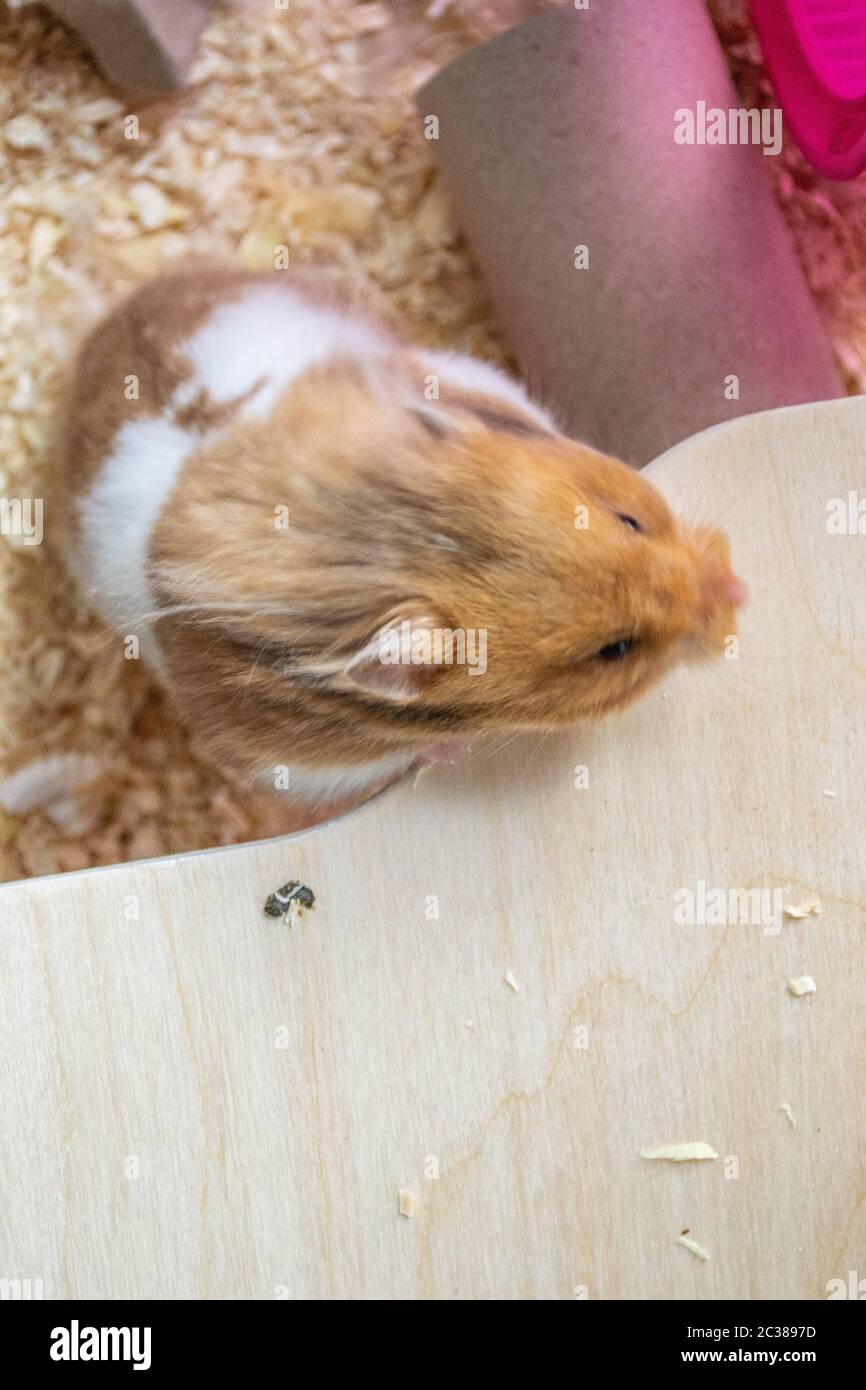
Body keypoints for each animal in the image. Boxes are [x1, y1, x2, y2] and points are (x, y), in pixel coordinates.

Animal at [60, 266, 746, 809]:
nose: (736, 594)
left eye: (629, 520)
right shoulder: (303, 766)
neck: (380, 541)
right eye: (615, 650)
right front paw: (447, 751)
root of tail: (98, 332)